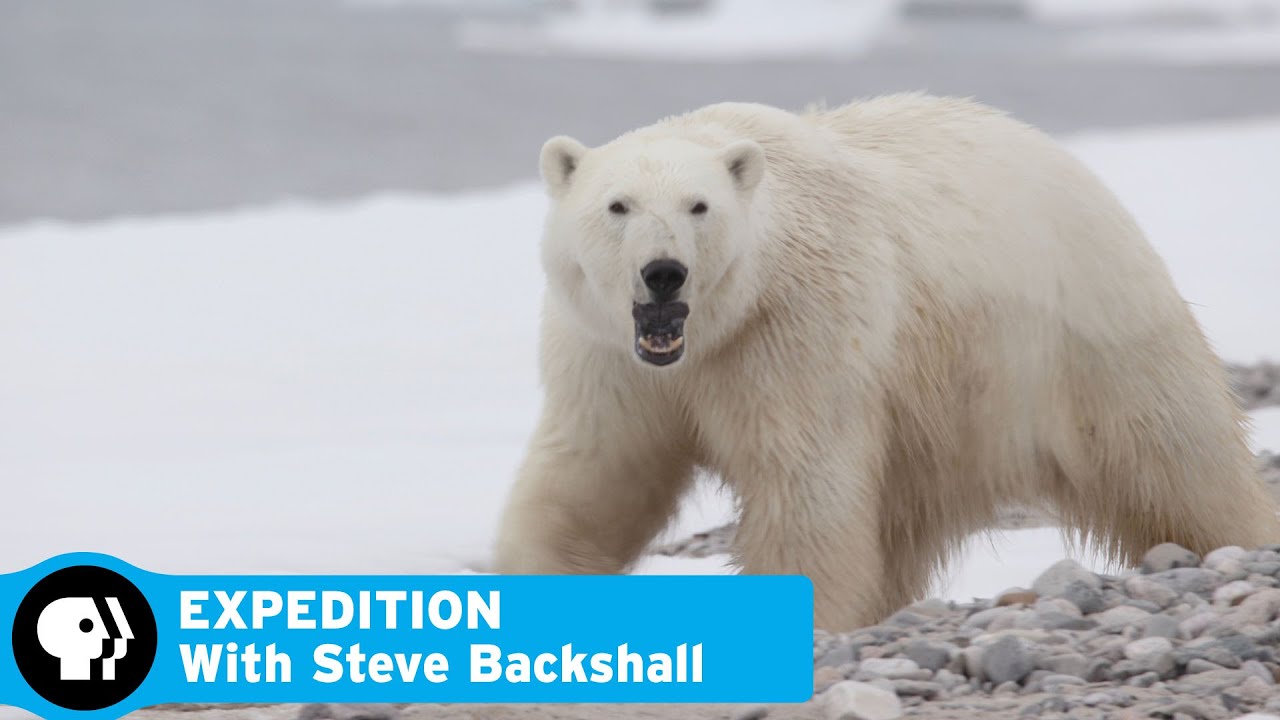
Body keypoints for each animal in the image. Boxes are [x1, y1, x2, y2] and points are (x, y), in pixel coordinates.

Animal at [493, 93, 1280, 631]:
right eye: (617, 205)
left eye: (698, 207)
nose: (664, 273)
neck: (719, 329)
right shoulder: (609, 358)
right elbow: (595, 474)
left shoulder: (797, 334)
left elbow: (804, 486)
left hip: (1086, 329)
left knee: (1177, 458)